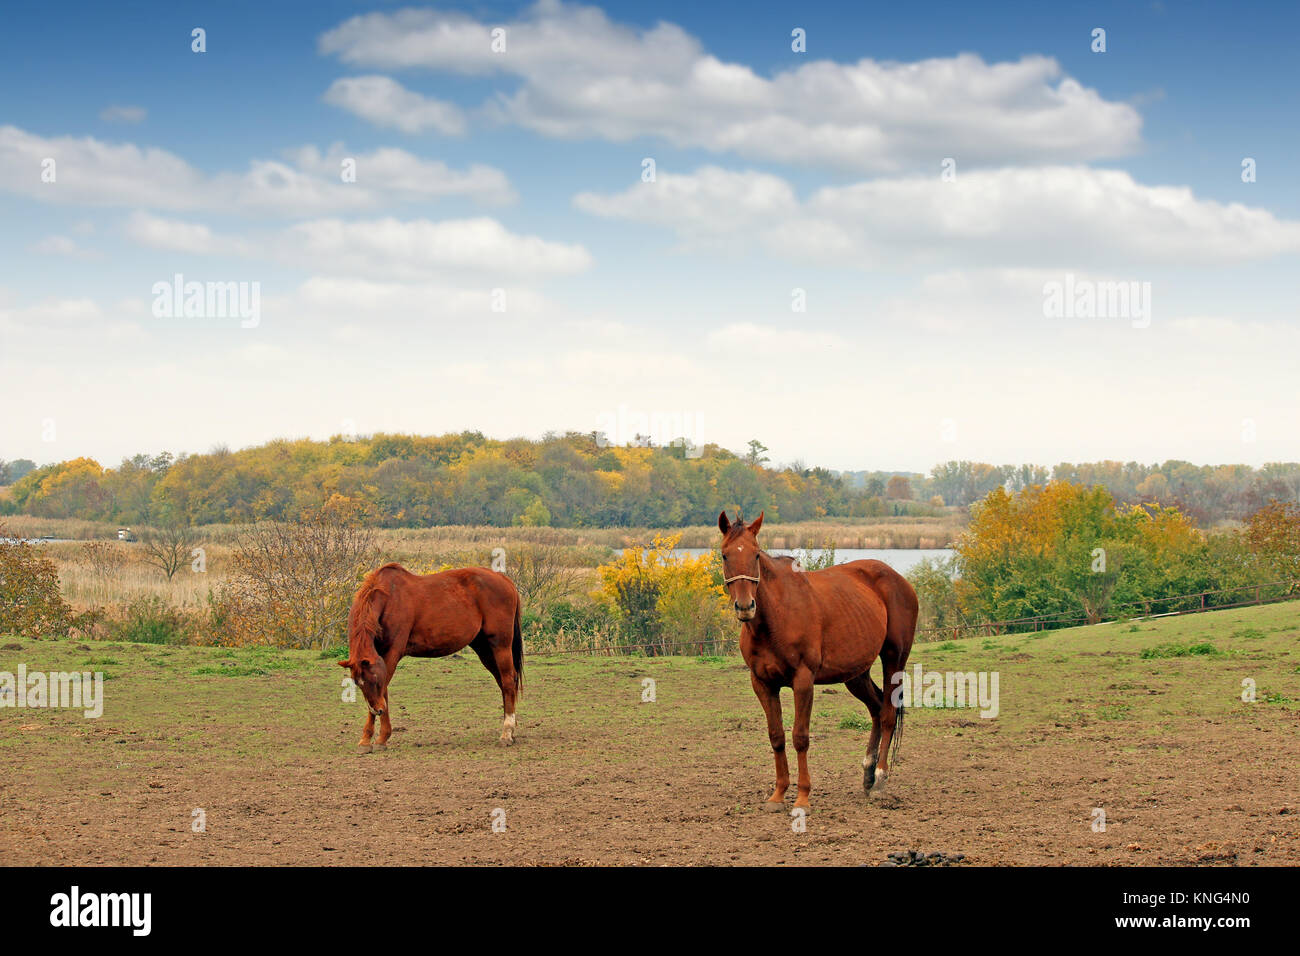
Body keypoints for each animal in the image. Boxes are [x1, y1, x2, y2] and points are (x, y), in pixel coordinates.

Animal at [337, 563, 523, 753]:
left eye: (375, 681)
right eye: (358, 684)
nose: (378, 710)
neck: (390, 598)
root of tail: (504, 580)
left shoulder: (392, 654)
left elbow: (384, 691)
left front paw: (378, 738)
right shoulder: (381, 659)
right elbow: (384, 693)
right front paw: (370, 738)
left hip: (500, 646)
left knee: (508, 681)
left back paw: (507, 732)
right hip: (484, 649)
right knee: (503, 682)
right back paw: (511, 729)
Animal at [718, 510, 918, 812]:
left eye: (755, 555)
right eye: (725, 555)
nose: (745, 606)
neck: (776, 616)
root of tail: (899, 581)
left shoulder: (803, 680)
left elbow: (800, 737)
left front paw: (802, 797)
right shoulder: (762, 683)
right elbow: (776, 736)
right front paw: (778, 794)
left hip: (894, 658)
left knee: (887, 713)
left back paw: (880, 779)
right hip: (856, 674)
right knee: (875, 707)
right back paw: (868, 774)